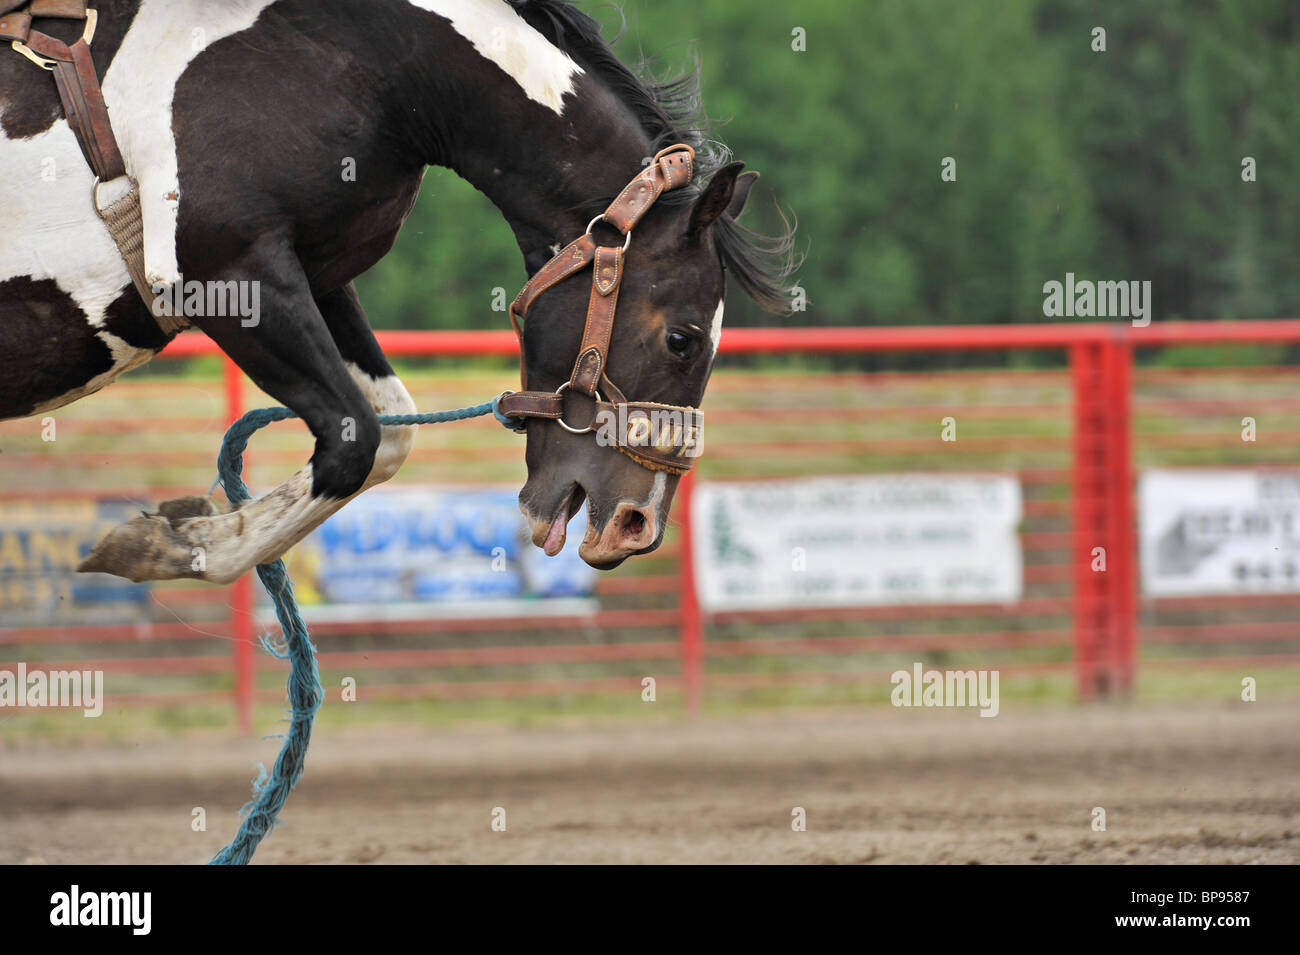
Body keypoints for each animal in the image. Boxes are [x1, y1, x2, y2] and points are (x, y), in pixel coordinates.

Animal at [0, 0, 794, 586]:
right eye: (682, 338)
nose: (636, 524)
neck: (361, 57)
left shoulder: (317, 277)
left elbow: (384, 432)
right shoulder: (224, 272)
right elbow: (353, 438)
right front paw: (168, 544)